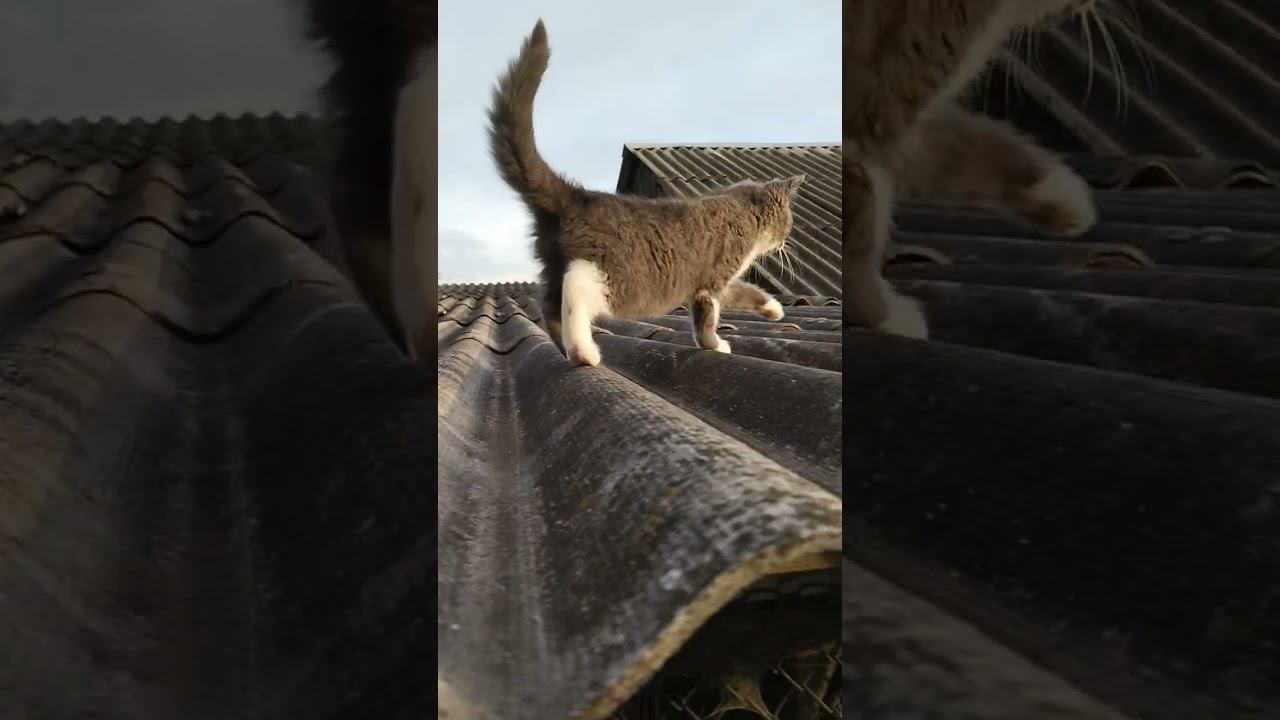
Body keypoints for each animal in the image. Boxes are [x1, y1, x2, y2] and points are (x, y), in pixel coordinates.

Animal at [488, 20, 802, 368]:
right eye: (788, 221)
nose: (785, 242)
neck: (742, 212)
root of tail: (578, 197)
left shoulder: (717, 280)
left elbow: (742, 292)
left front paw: (773, 309)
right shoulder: (713, 276)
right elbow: (707, 315)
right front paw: (714, 344)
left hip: (553, 261)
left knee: (549, 305)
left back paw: (567, 349)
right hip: (621, 273)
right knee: (578, 291)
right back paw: (584, 351)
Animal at [842, 0, 1102, 339]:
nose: (1094, 5)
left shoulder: (898, 115)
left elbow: (962, 146)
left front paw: (1064, 196)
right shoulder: (866, 117)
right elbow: (859, 222)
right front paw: (881, 314)